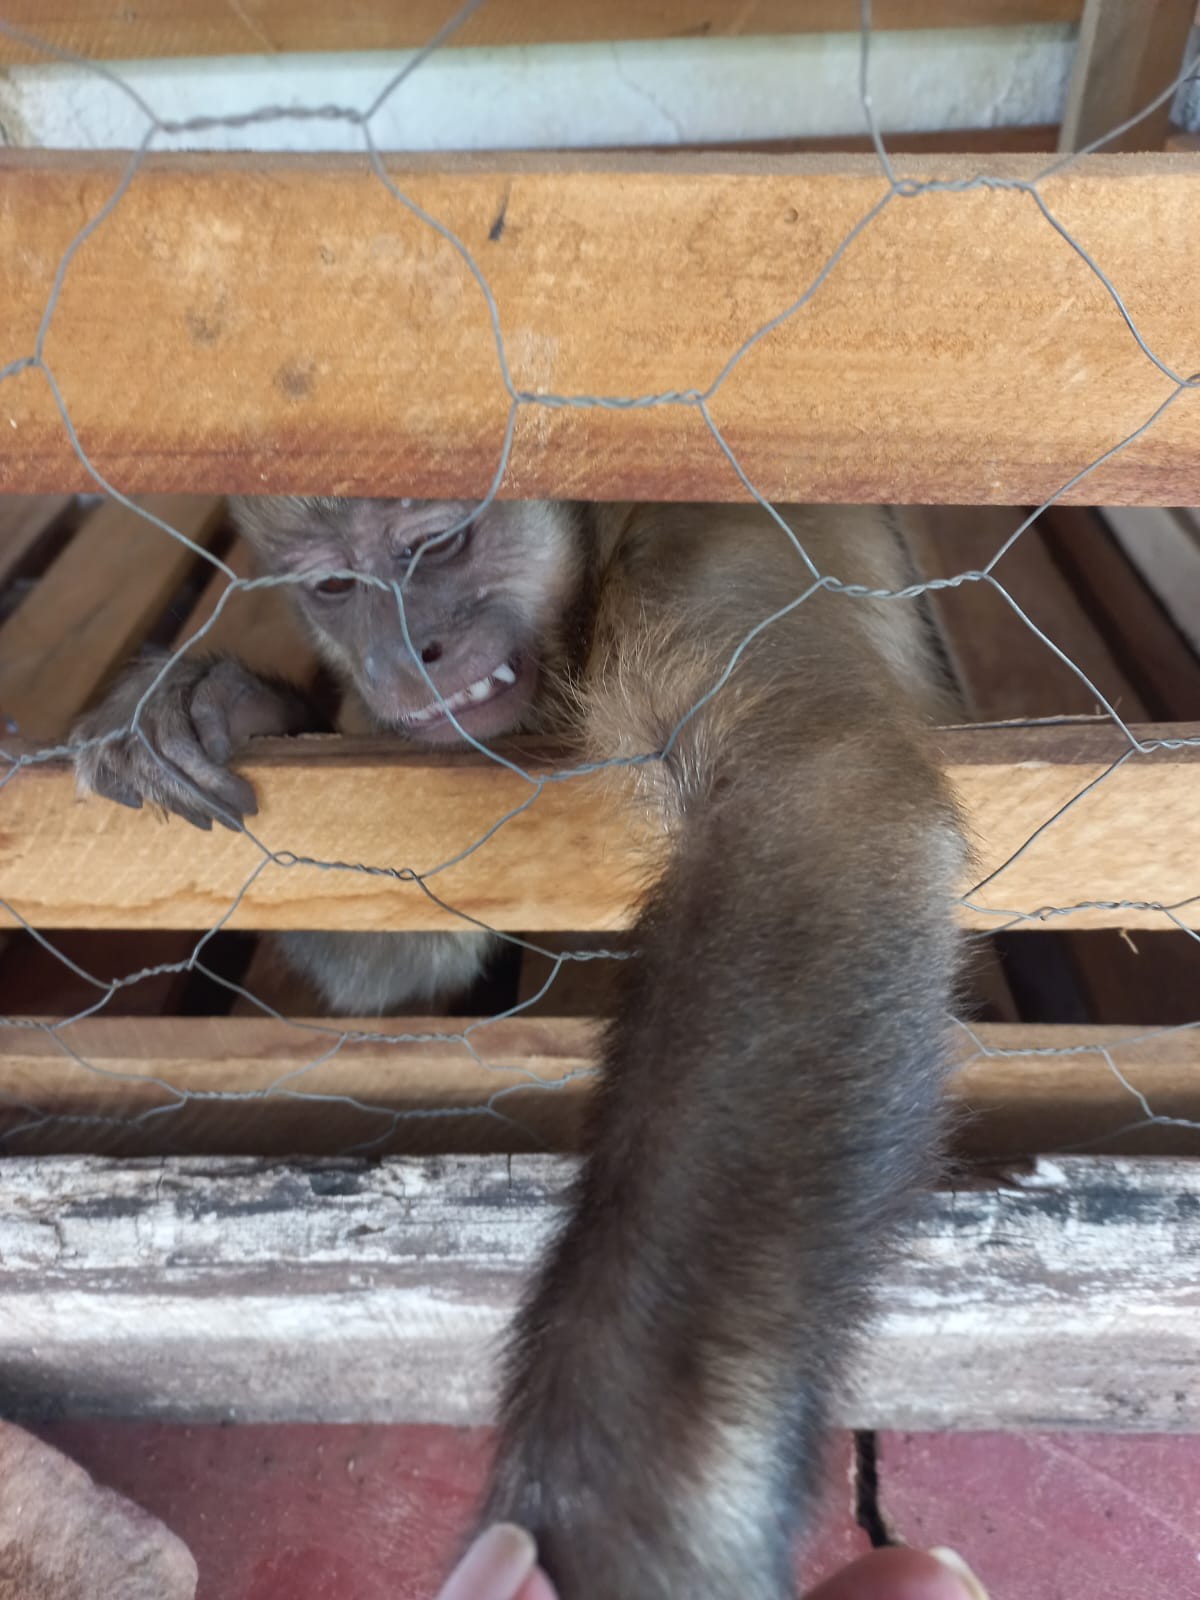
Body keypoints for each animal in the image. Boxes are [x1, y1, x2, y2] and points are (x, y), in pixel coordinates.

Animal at [72, 496, 965, 1600]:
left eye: (435, 543)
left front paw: (618, 1511)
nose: (406, 650)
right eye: (332, 587)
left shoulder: (705, 545)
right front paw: (224, 706)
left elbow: (813, 806)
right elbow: (397, 949)